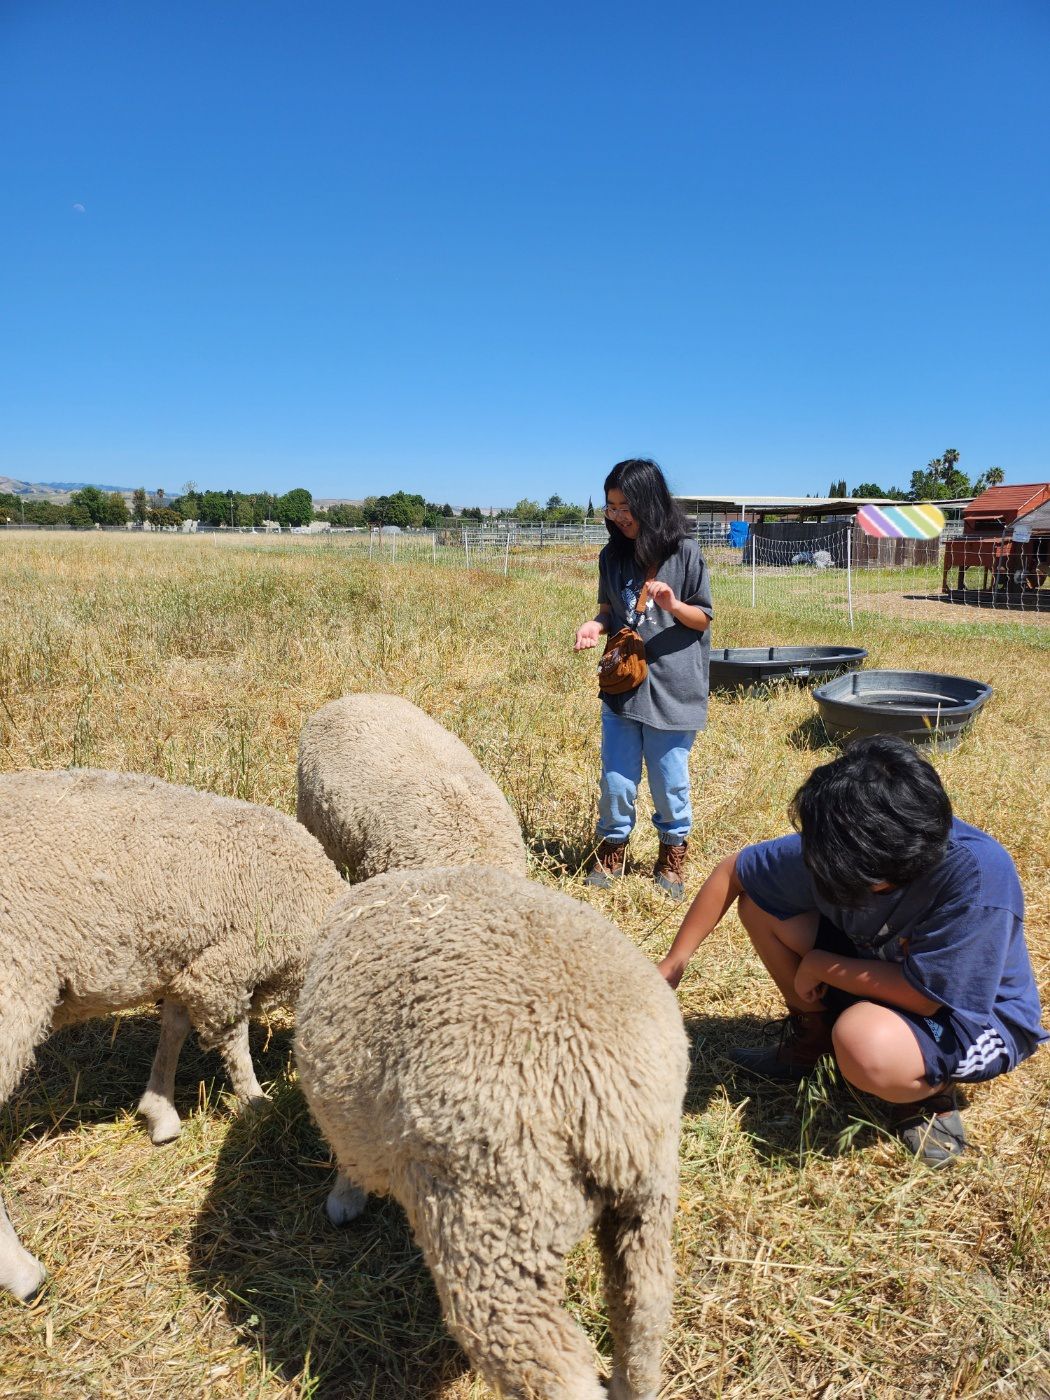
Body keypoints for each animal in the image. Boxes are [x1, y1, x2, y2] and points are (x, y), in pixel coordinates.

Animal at [0, 767, 345, 1301]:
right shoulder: (226, 963)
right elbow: (233, 1040)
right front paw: (255, 1102)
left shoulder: (190, 960)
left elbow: (175, 1027)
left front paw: (158, 1109)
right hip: (12, 992)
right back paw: (22, 1271)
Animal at [295, 864, 688, 1400]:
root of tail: (604, 1098)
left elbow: (348, 1161)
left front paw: (343, 1201)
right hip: (647, 1201)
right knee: (644, 1312)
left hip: (493, 1222)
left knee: (547, 1365)